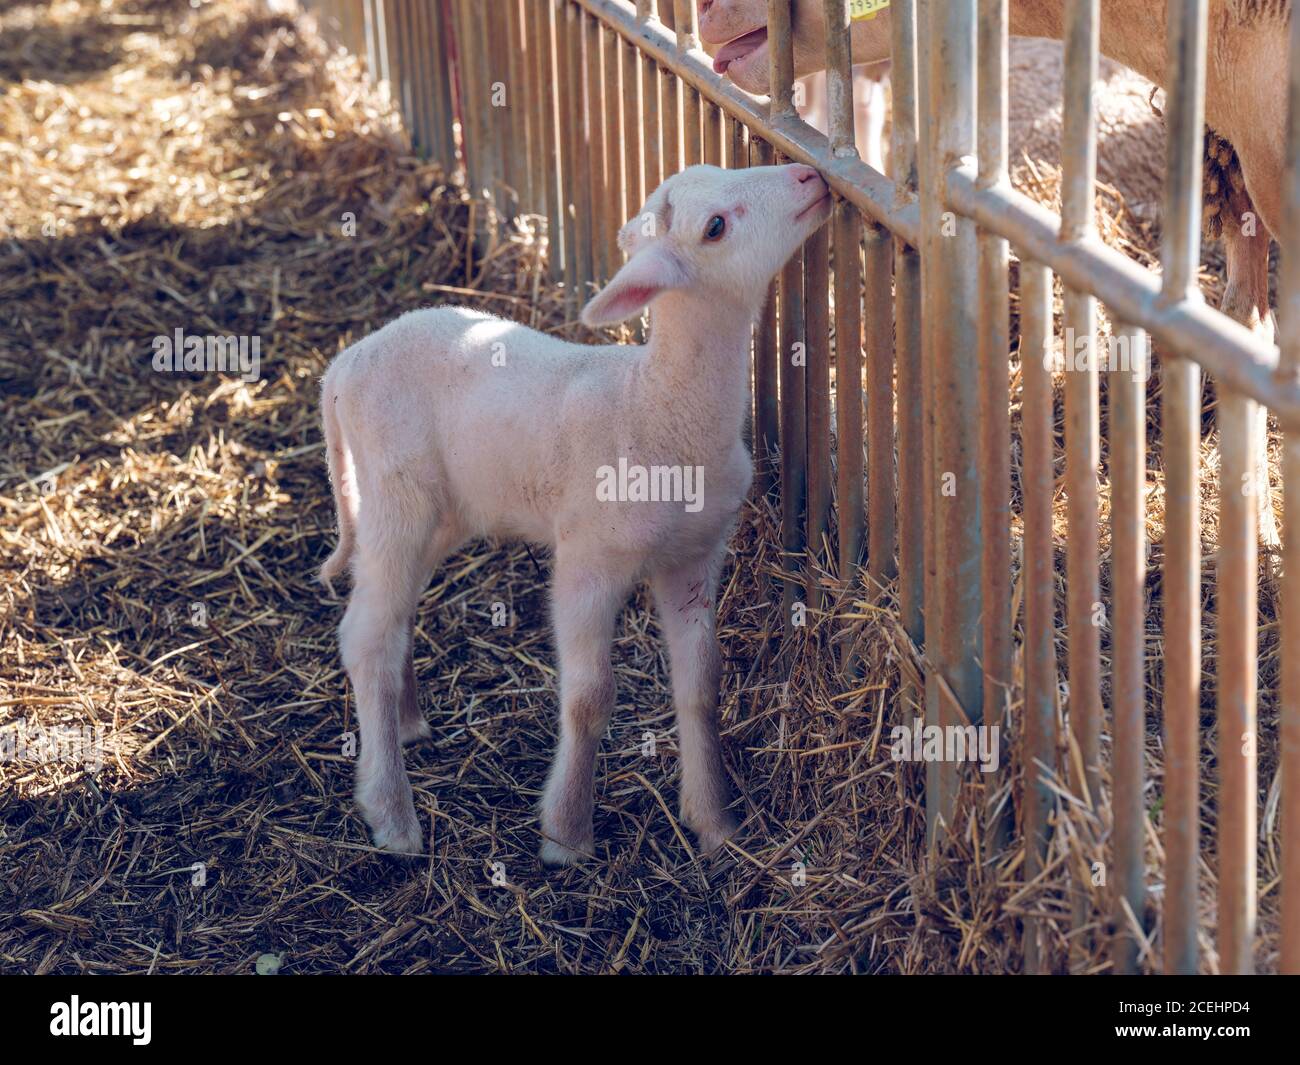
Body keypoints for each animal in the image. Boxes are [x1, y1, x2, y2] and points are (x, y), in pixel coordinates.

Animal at [319, 163, 833, 862]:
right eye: (716, 227)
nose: (809, 174)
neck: (655, 406)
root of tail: (344, 364)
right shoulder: (589, 559)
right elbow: (590, 698)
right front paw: (566, 831)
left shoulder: (695, 556)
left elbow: (703, 685)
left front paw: (715, 822)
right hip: (396, 497)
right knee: (365, 636)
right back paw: (392, 814)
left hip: (439, 512)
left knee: (391, 617)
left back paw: (407, 724)